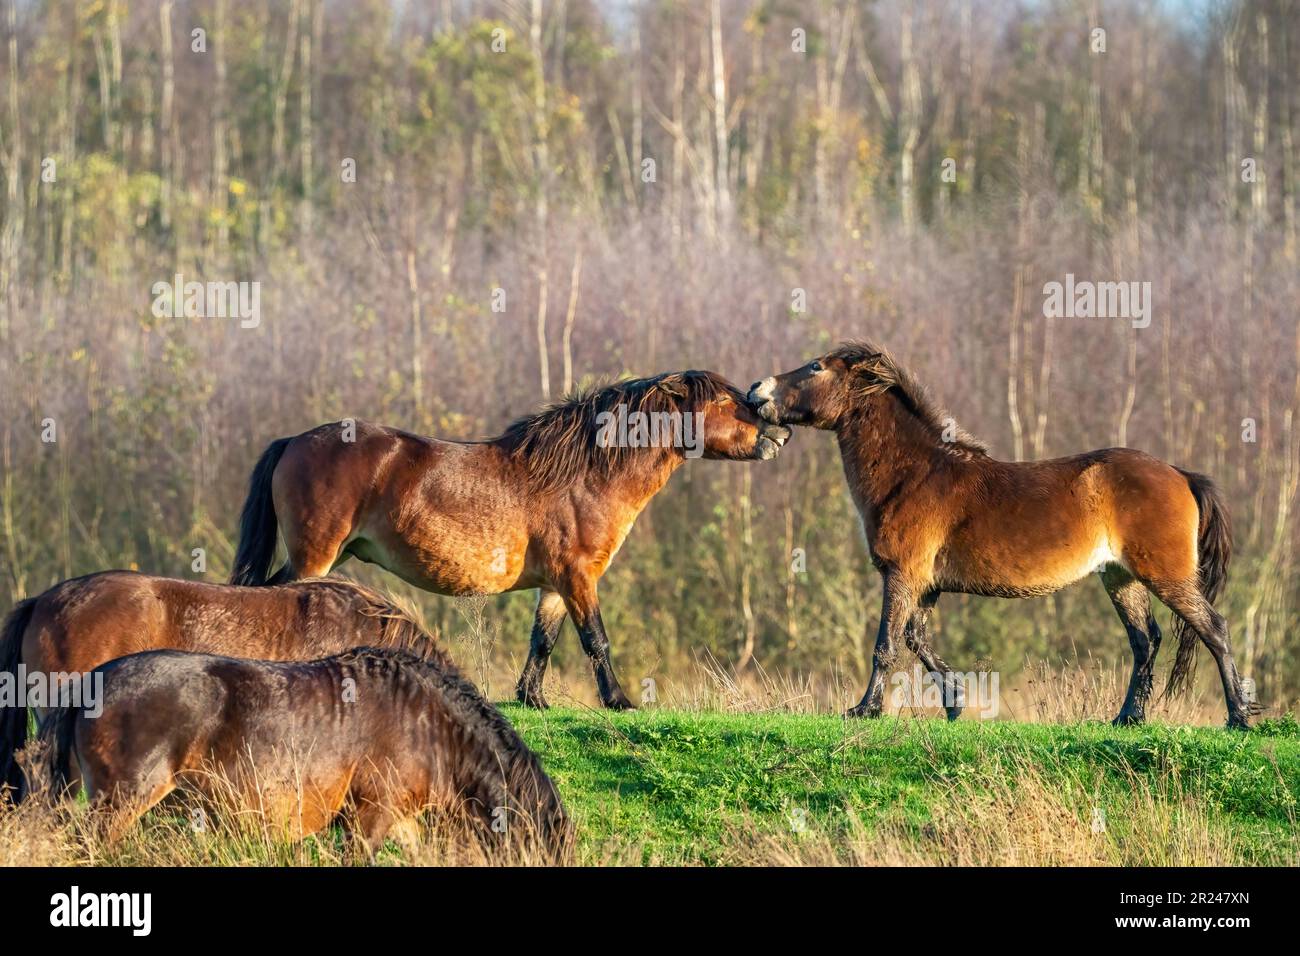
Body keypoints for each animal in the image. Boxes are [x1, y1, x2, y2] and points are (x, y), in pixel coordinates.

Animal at [229, 370, 792, 710]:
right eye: (725, 401)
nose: (780, 433)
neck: (584, 474)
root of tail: (293, 441)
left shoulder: (556, 584)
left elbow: (543, 640)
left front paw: (530, 699)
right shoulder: (579, 577)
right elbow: (596, 640)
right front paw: (618, 700)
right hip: (315, 555)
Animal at [748, 341, 1254, 729]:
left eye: (815, 367)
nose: (756, 390)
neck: (914, 474)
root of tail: (1181, 474)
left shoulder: (902, 575)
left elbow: (886, 646)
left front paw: (864, 710)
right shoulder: (925, 586)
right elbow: (915, 640)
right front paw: (955, 702)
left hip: (1165, 576)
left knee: (1212, 628)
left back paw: (1238, 717)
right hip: (1120, 578)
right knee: (1145, 641)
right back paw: (1128, 718)